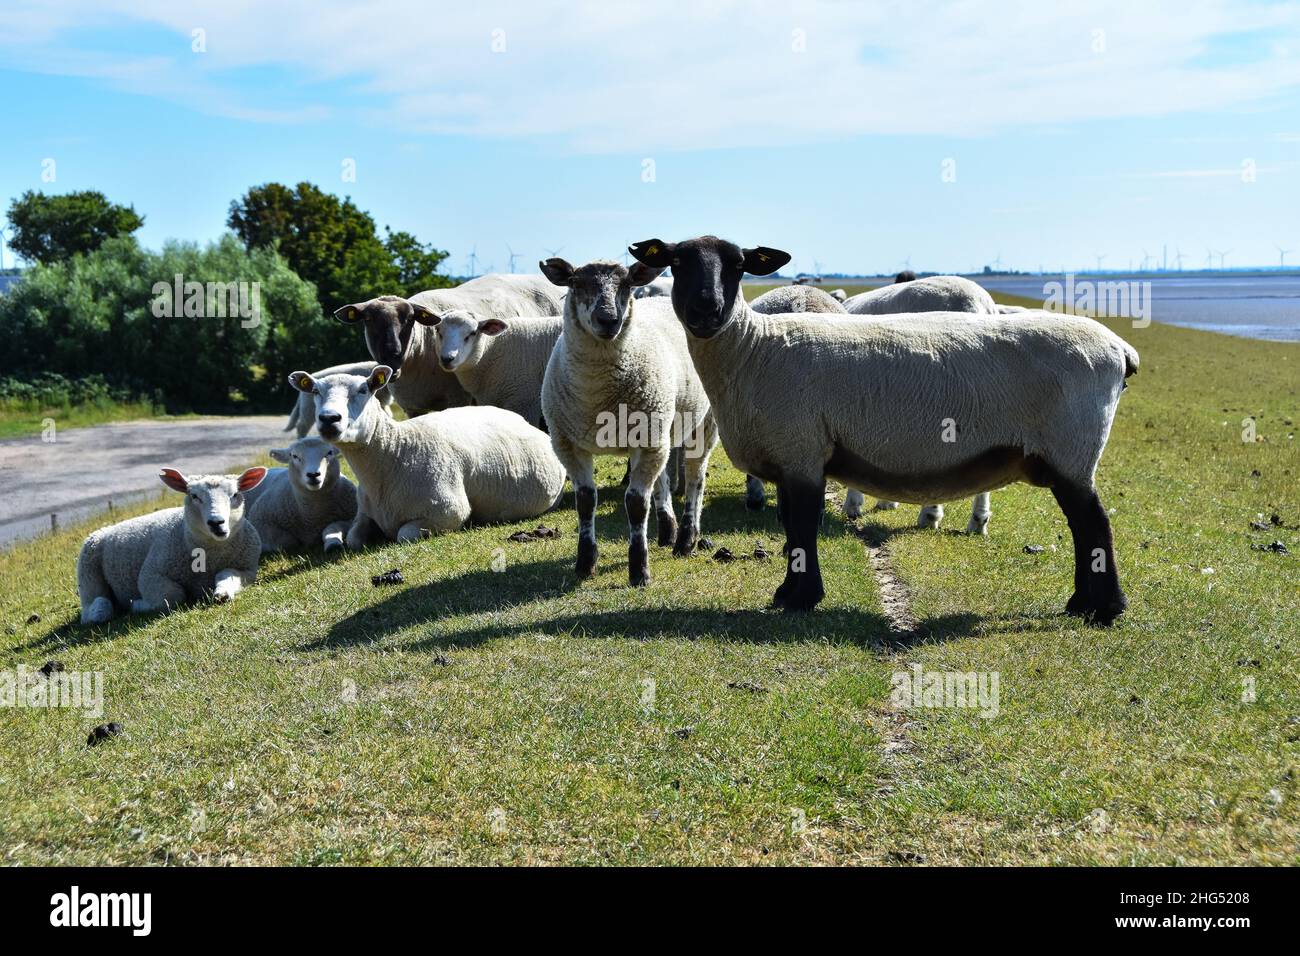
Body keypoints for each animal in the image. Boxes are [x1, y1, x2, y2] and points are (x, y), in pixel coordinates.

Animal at [77, 467, 268, 624]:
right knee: (93, 606)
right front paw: (138, 605)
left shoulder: (247, 570)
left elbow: (226, 575)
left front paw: (223, 593)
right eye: (194, 496)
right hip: (88, 569)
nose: (216, 523)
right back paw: (102, 610)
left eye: (234, 494)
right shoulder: (150, 575)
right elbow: (173, 595)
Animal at [288, 365, 566, 547]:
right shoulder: (364, 513)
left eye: (364, 389)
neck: (392, 454)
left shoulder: (448, 511)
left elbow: (403, 536)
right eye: (315, 391)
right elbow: (353, 540)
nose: (328, 419)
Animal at [538, 257, 719, 587]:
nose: (608, 319)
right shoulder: (568, 445)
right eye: (577, 283)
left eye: (626, 285)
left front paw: (639, 570)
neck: (597, 395)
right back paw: (667, 530)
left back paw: (686, 539)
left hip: (702, 421)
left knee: (695, 477)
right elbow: (585, 501)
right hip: (658, 429)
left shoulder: (647, 439)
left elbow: (636, 505)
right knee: (663, 477)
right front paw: (585, 563)